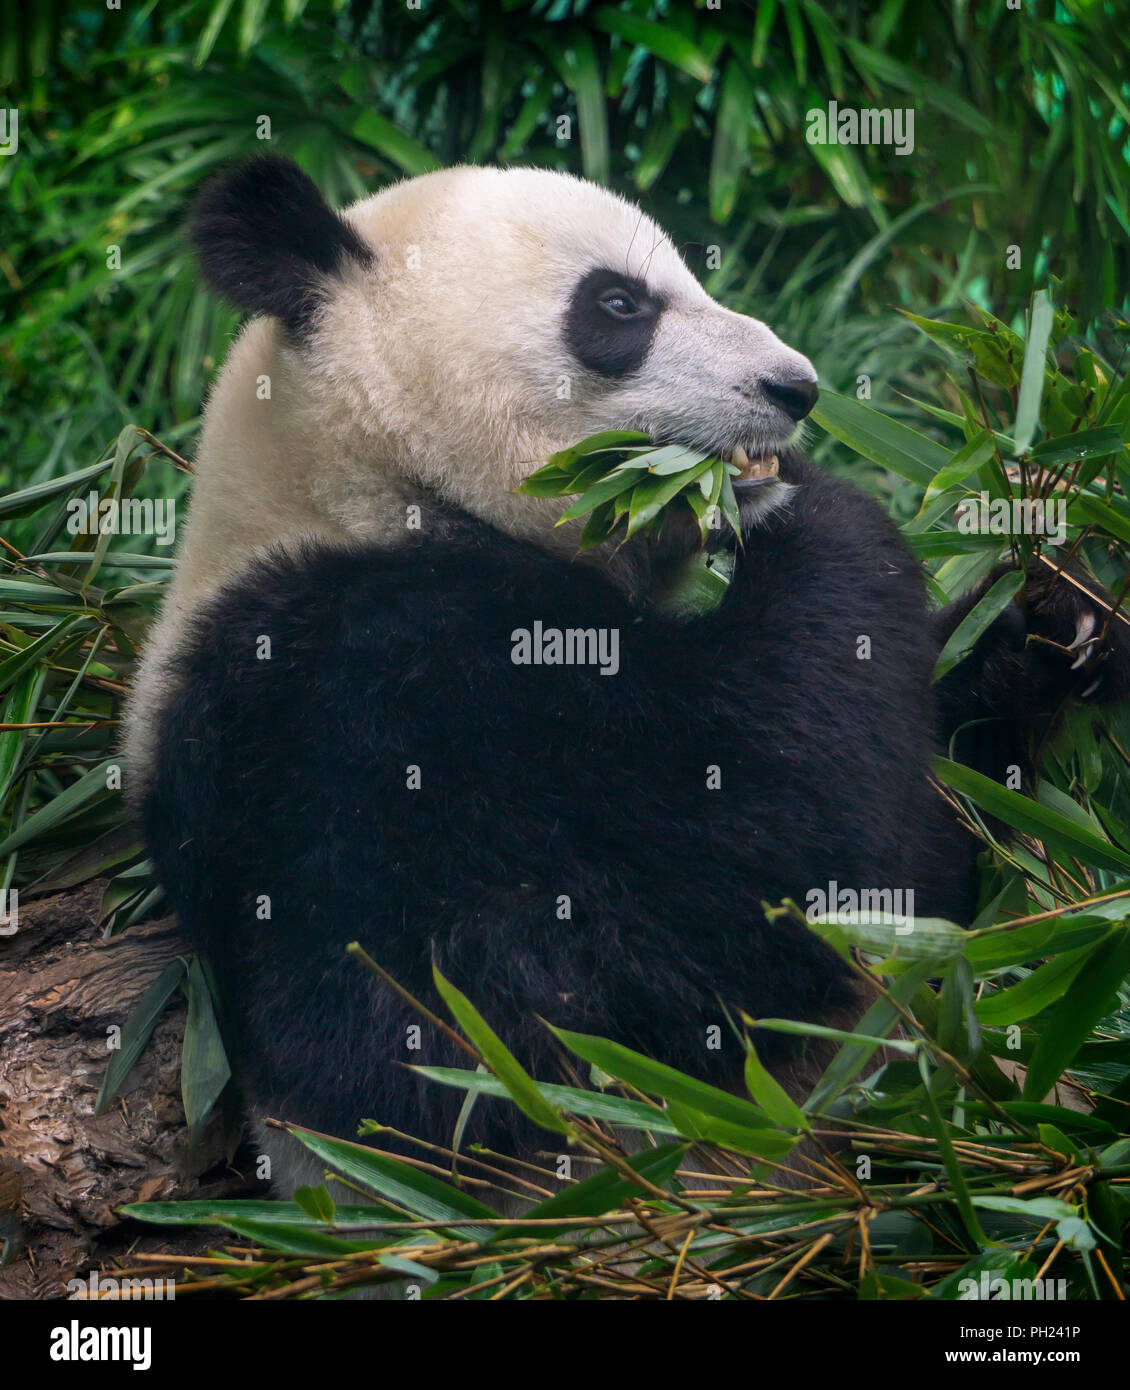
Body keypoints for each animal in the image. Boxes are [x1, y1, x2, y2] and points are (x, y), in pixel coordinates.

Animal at [127, 154, 1128, 1195]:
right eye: (619, 304)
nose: (798, 389)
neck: (361, 486)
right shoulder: (350, 697)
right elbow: (593, 970)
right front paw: (813, 506)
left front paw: (1054, 620)